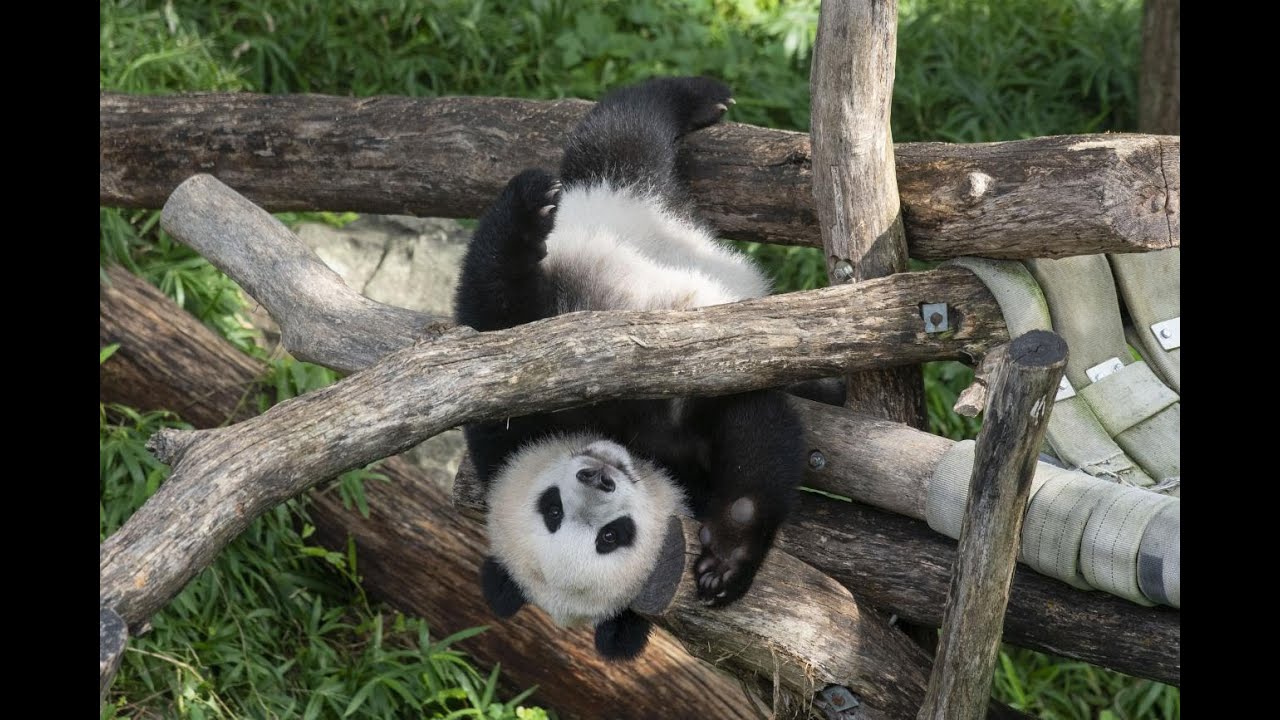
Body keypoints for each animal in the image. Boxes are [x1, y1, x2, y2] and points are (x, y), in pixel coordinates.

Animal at [454, 76, 830, 660]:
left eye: (612, 536)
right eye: (555, 512)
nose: (598, 476)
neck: (622, 437)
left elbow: (754, 424)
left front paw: (727, 563)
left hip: (622, 218)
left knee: (622, 131)